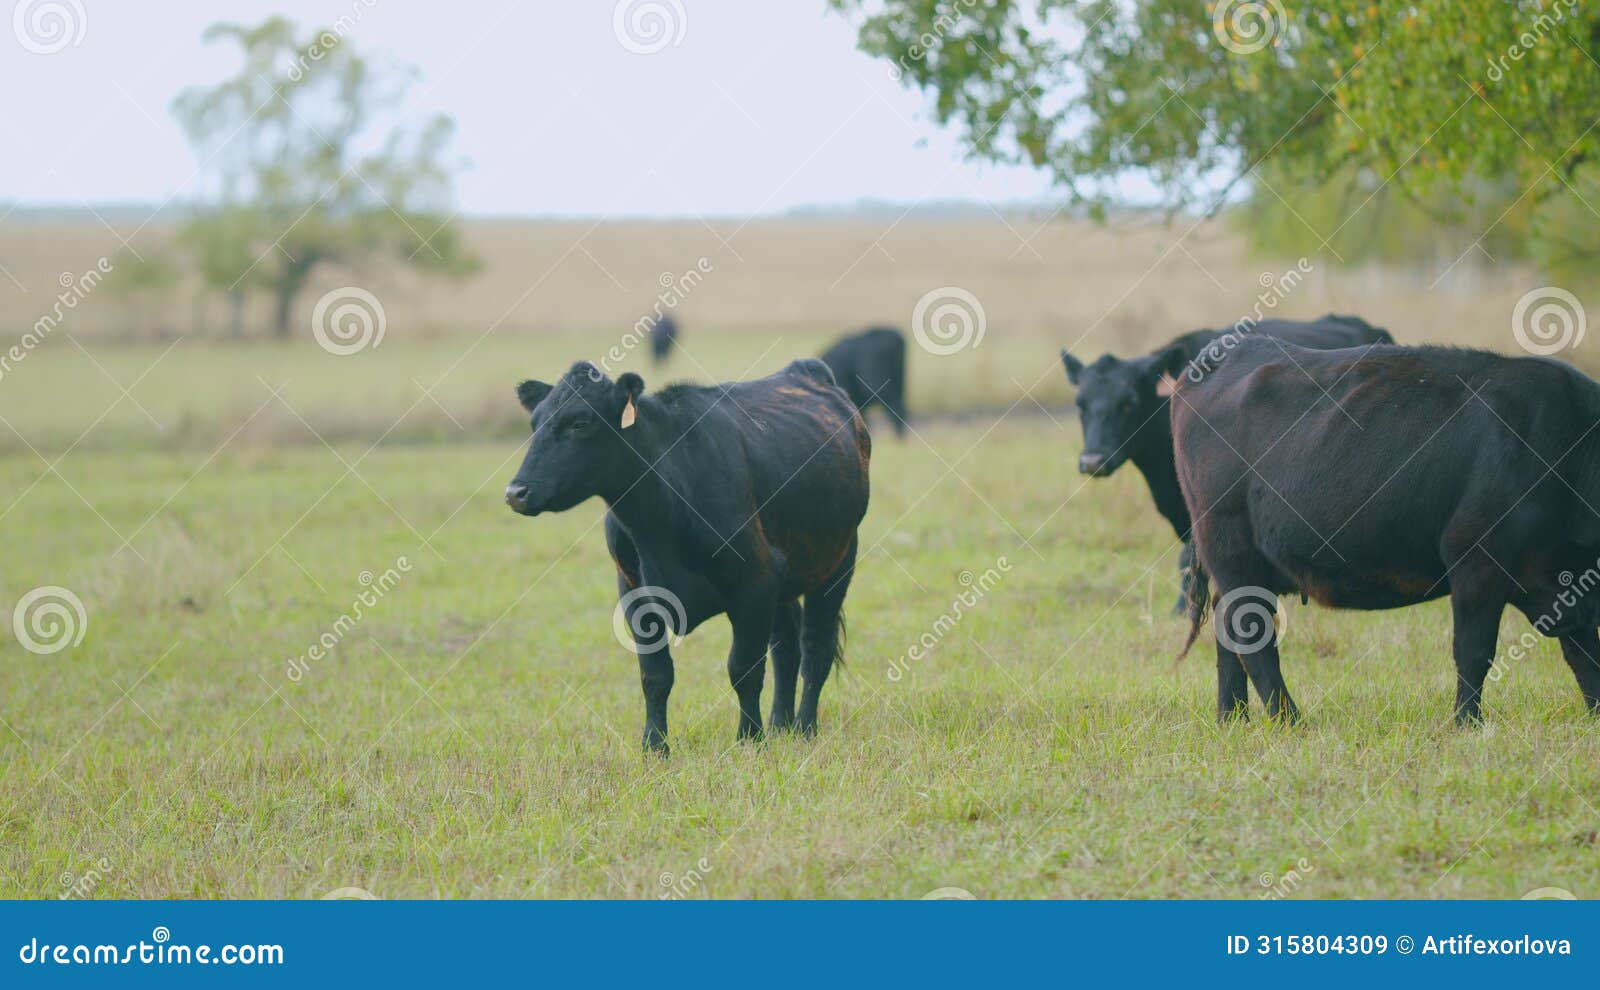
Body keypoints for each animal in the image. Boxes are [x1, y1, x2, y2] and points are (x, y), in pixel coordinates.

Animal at [504, 359, 871, 754]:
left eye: (580, 423)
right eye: (534, 424)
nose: (516, 492)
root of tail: (807, 370)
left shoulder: (755, 583)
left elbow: (743, 669)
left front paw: (749, 739)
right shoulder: (635, 593)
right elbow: (655, 675)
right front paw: (654, 746)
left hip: (837, 560)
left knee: (815, 647)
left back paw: (804, 728)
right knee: (787, 646)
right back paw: (780, 725)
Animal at [1173, 337, 1600, 725]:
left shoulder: (1569, 586)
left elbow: (1585, 654)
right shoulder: (1476, 559)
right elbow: (1474, 651)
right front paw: (1468, 723)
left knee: (1228, 633)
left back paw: (1233, 717)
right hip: (1231, 548)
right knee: (1250, 635)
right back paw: (1288, 720)